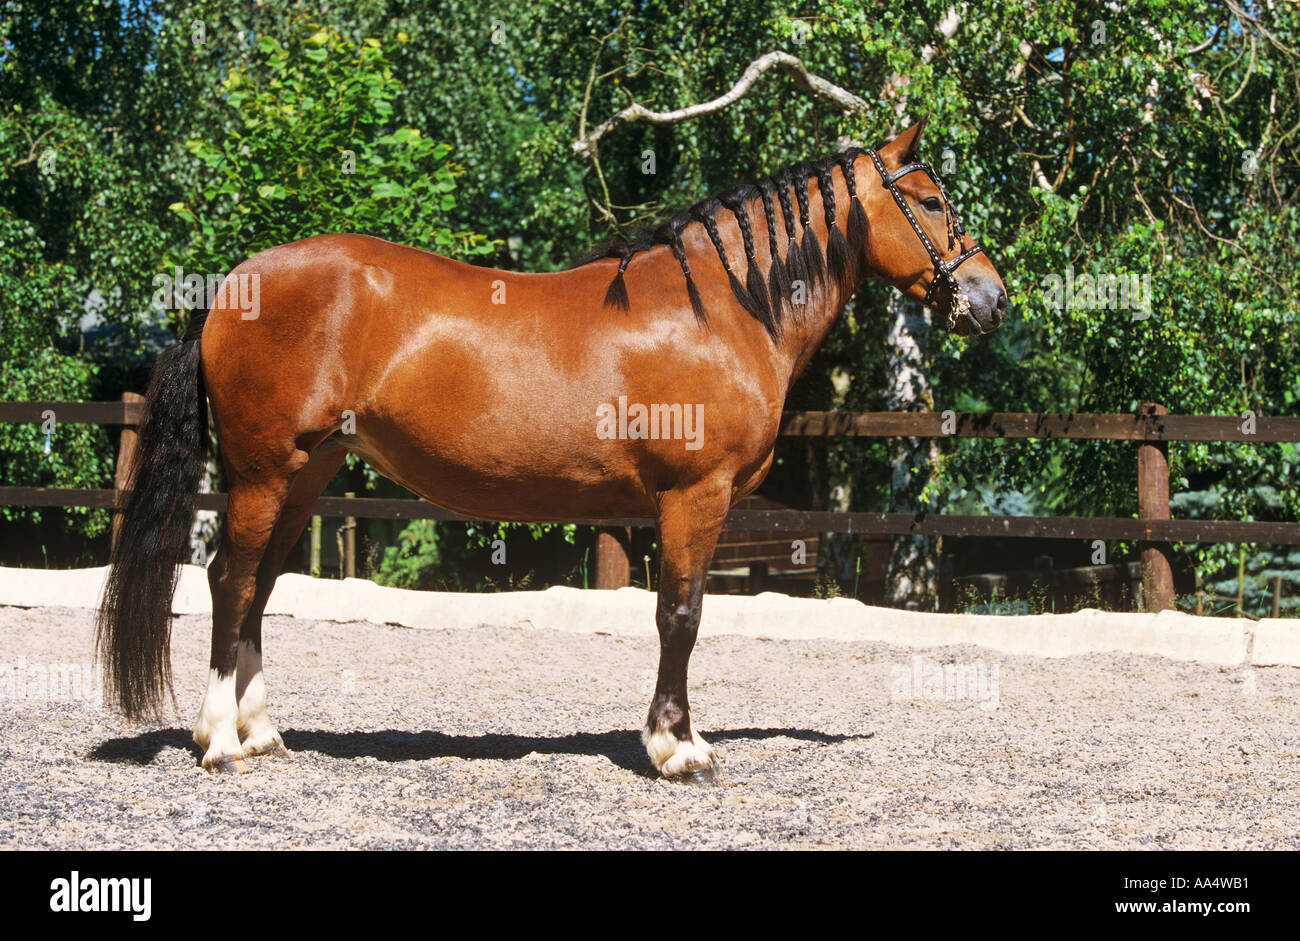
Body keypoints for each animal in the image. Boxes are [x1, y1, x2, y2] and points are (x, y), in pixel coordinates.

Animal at [97, 118, 1006, 783]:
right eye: (931, 201)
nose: (990, 295)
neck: (721, 308)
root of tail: (229, 289)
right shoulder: (695, 495)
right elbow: (681, 614)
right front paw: (677, 748)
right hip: (262, 470)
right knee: (229, 579)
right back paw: (219, 741)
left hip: (307, 472)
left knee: (258, 588)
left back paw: (261, 732)